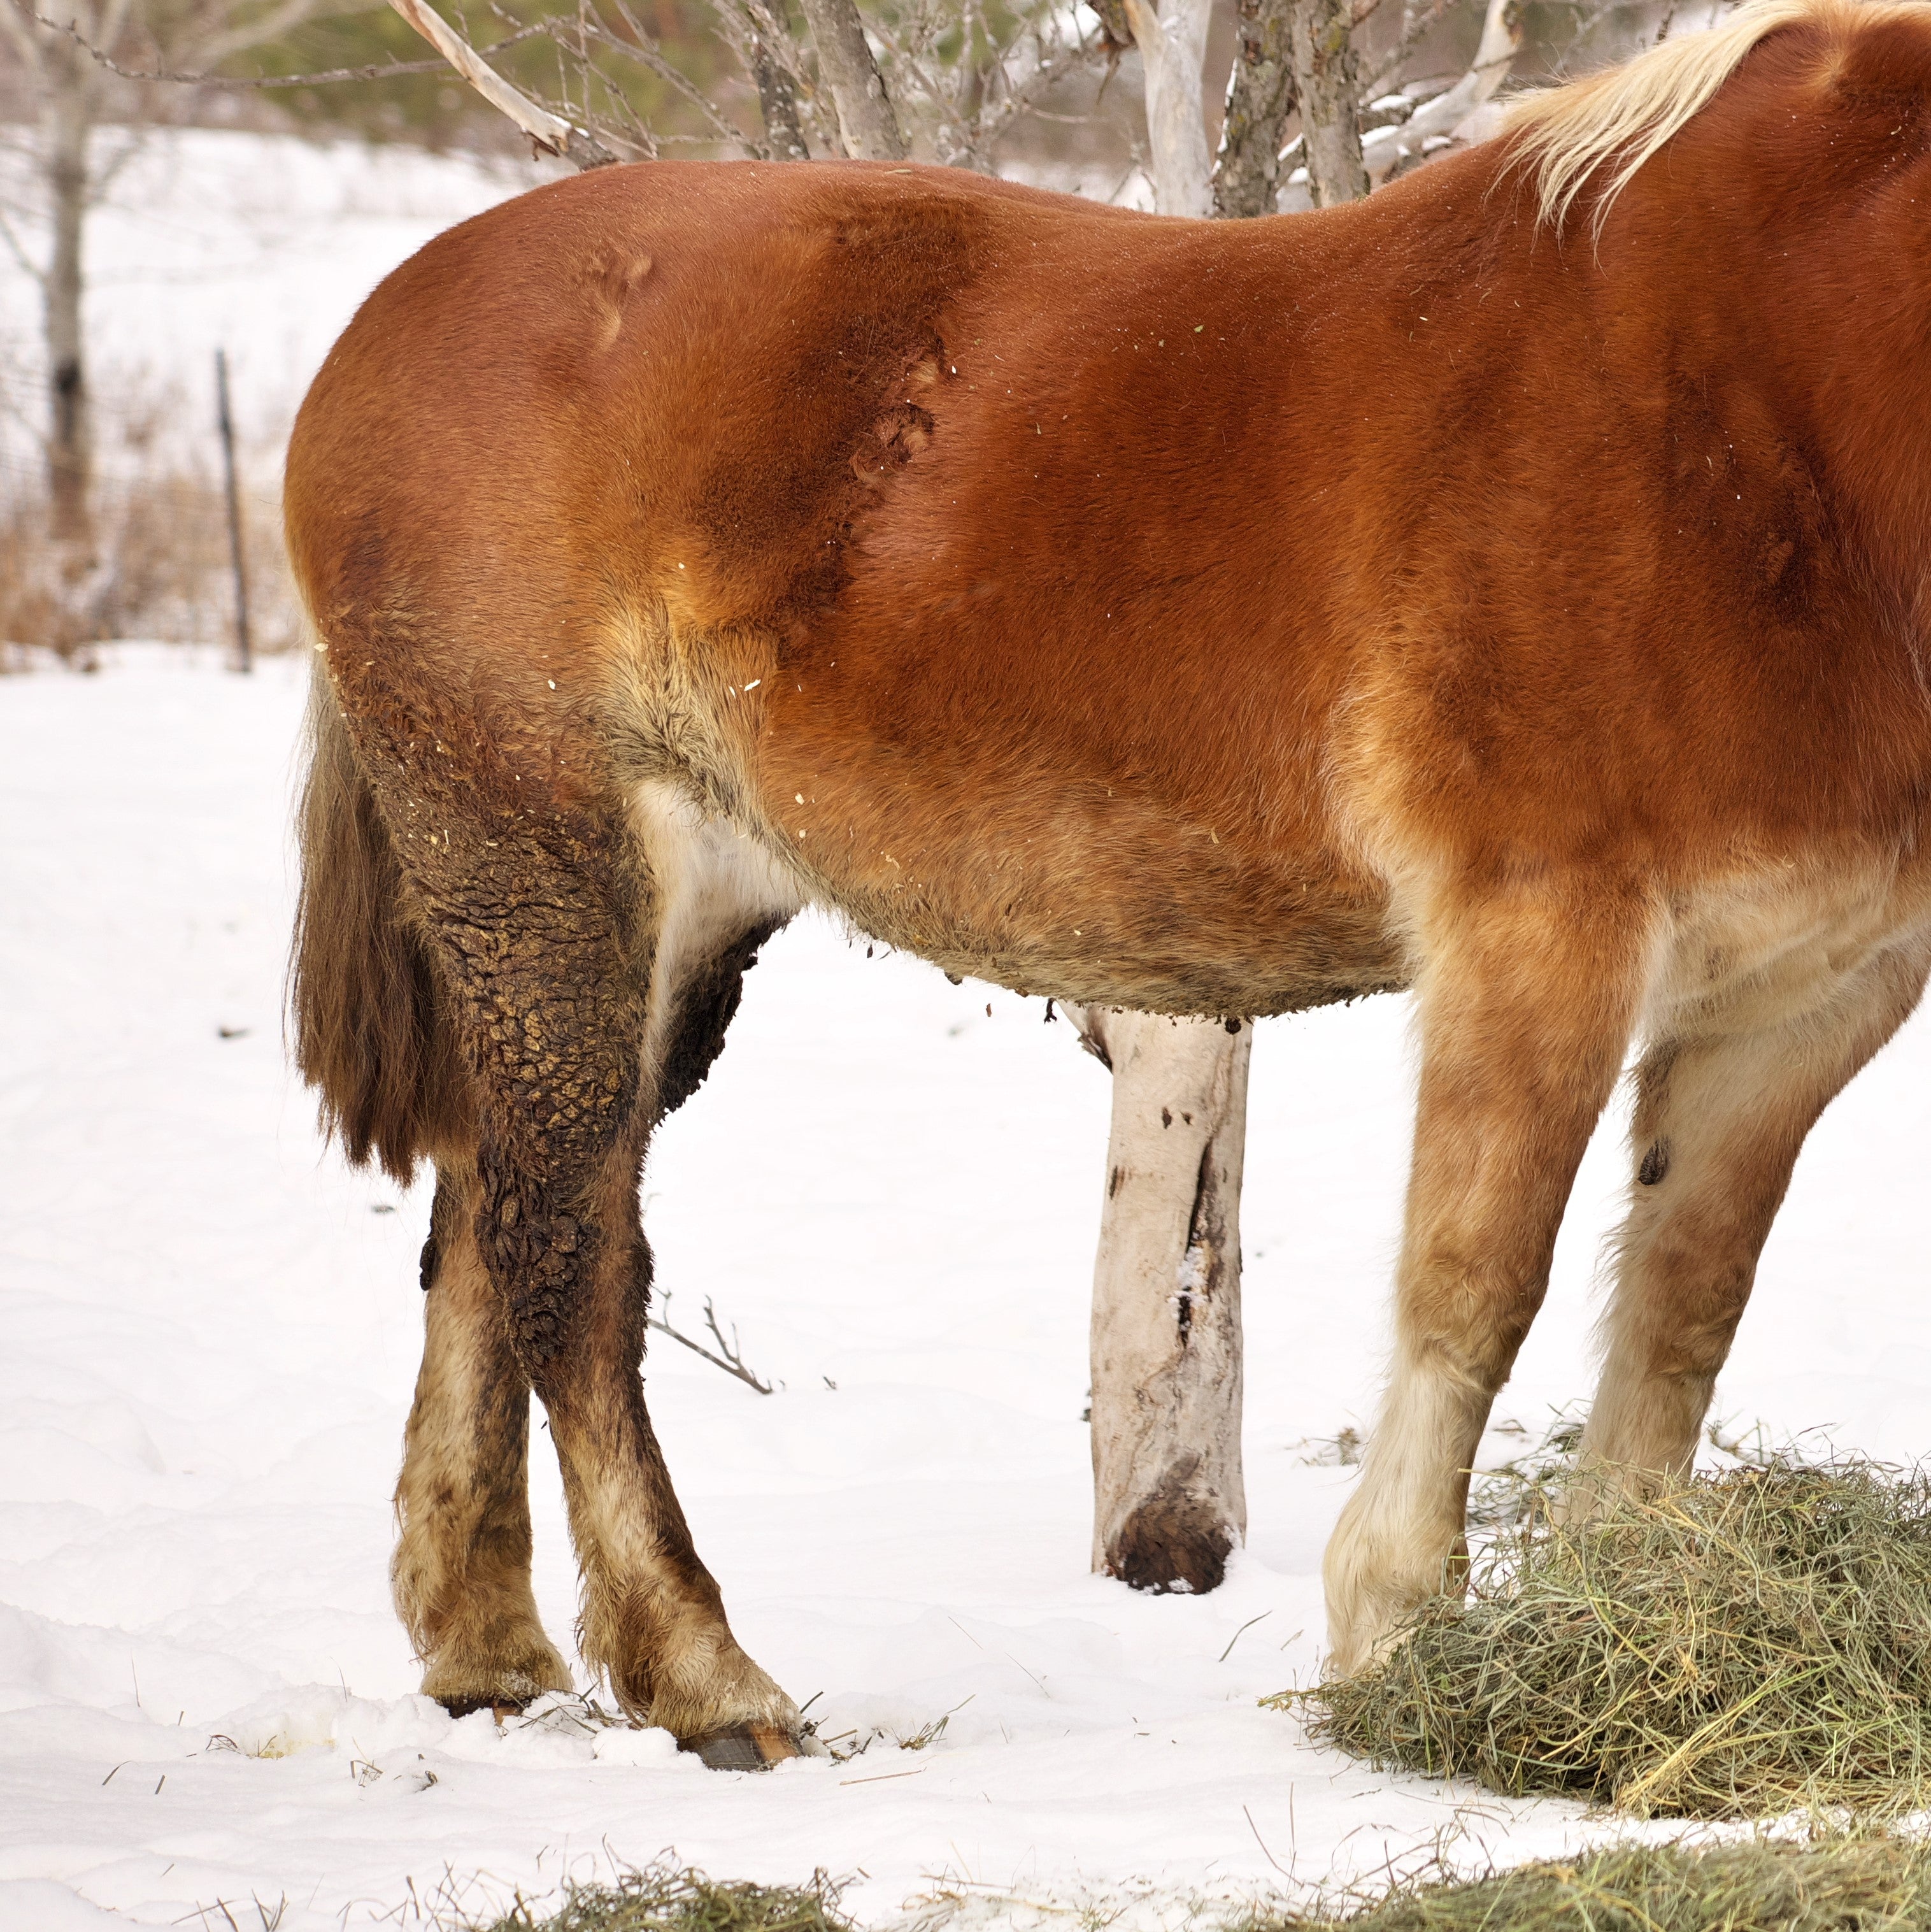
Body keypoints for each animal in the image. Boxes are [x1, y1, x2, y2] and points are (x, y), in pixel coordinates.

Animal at [287, 0, 1931, 1769]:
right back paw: (705, 1674)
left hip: (653, 925)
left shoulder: (1806, 996)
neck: (1758, 406)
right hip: (544, 866)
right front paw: (1396, 1634)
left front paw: (1632, 1616)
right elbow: (1475, 1285)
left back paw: (487, 1649)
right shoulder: (1541, 933)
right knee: (569, 1255)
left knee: (489, 1213)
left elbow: (1684, 1305)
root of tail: (386, 322)